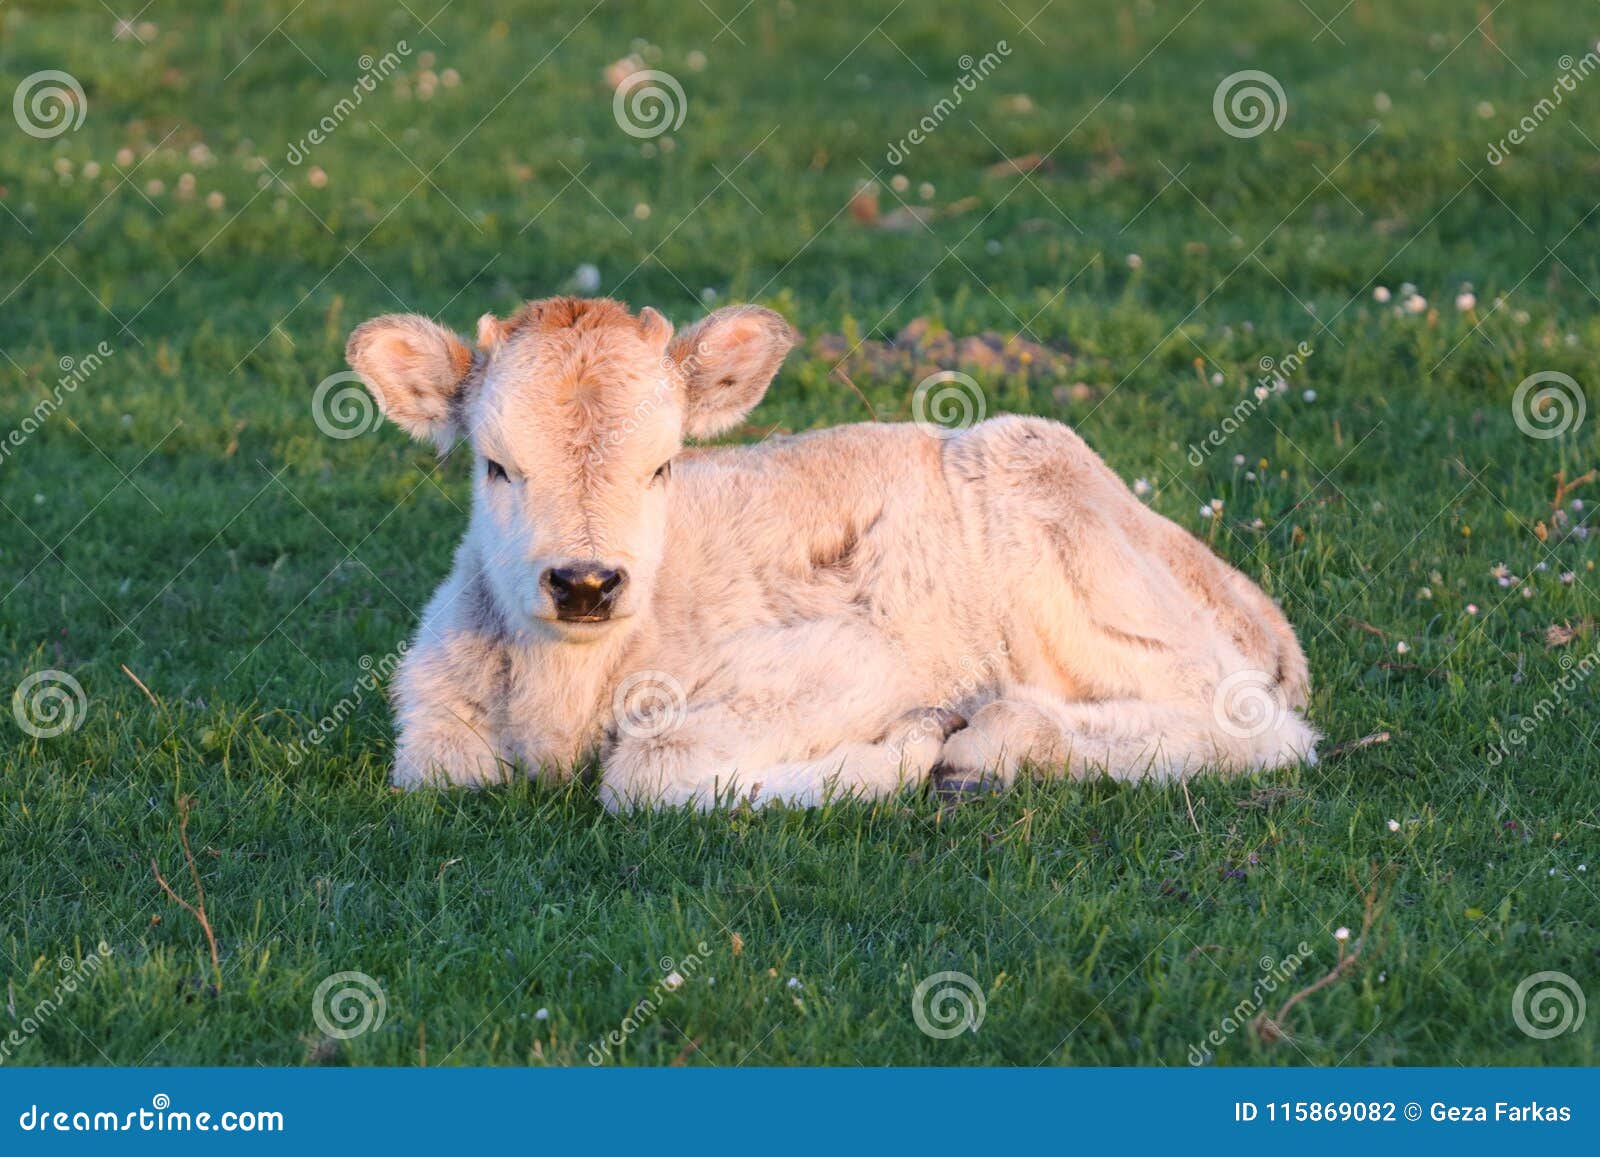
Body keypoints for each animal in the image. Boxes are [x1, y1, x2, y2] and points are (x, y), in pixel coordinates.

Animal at [344, 297, 1316, 809]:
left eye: (663, 464)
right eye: (495, 464)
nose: (586, 582)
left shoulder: (860, 656)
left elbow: (649, 768)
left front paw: (906, 749)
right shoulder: (431, 707)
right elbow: (442, 771)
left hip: (1054, 514)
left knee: (1258, 728)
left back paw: (993, 735)